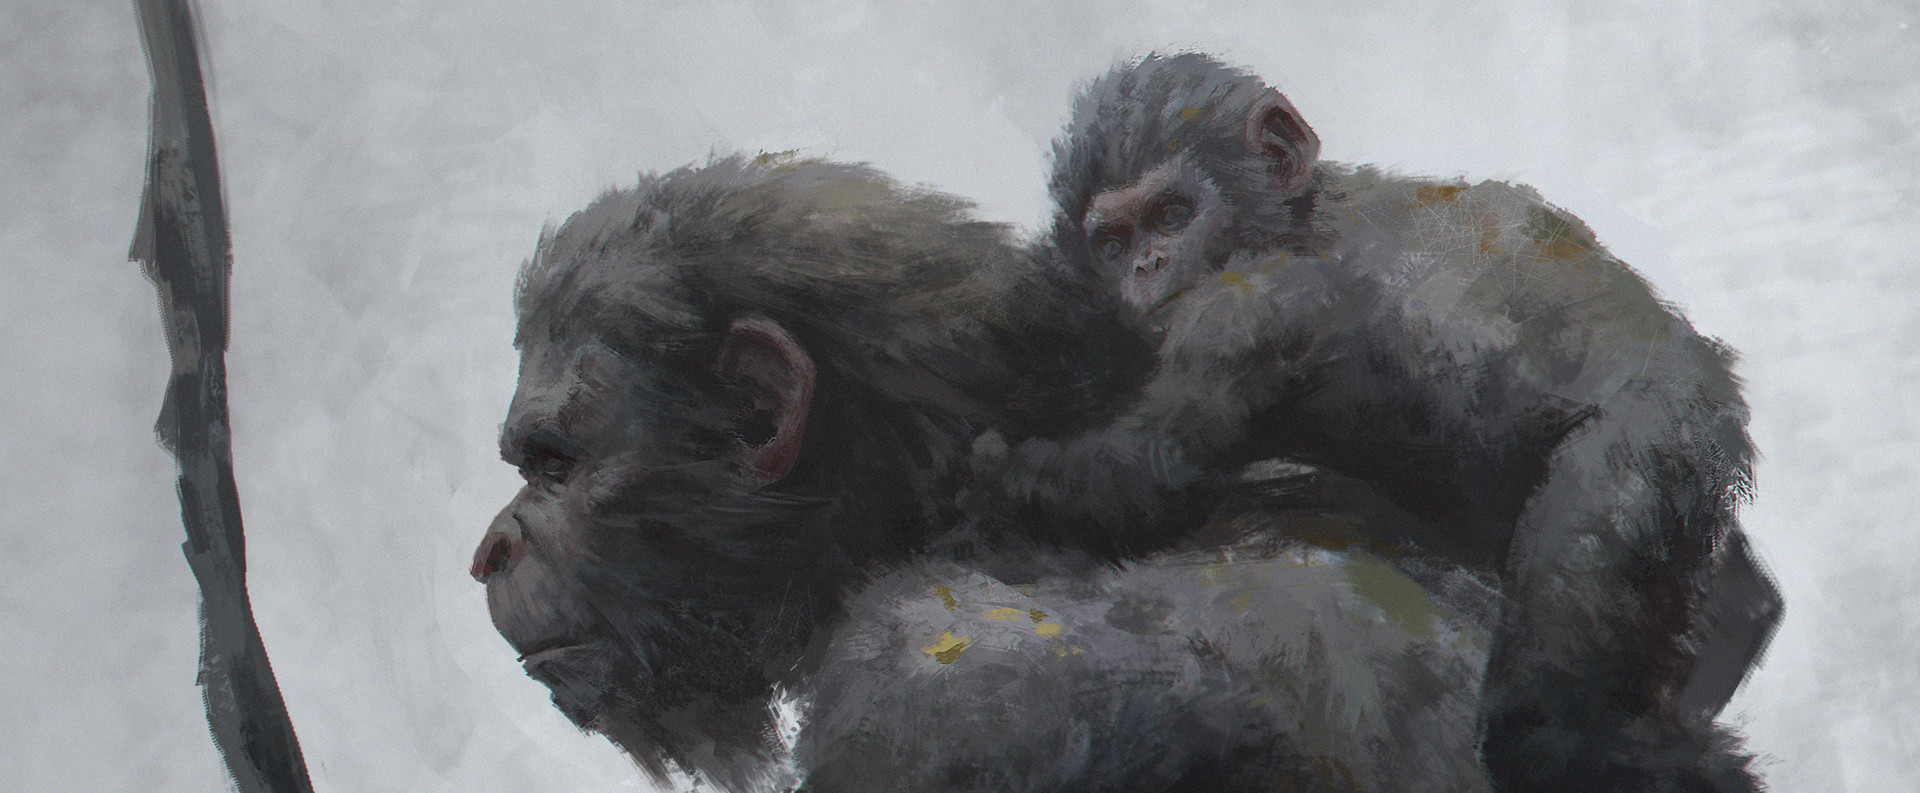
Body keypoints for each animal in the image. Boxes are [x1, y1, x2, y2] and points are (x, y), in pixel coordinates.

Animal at [971, 53, 1775, 792]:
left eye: (1171, 214)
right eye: (1113, 242)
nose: (1148, 264)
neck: (1298, 218)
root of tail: (1714, 387)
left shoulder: (1241, 313)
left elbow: (1146, 471)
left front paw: (988, 467)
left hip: (1639, 451)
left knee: (1549, 716)